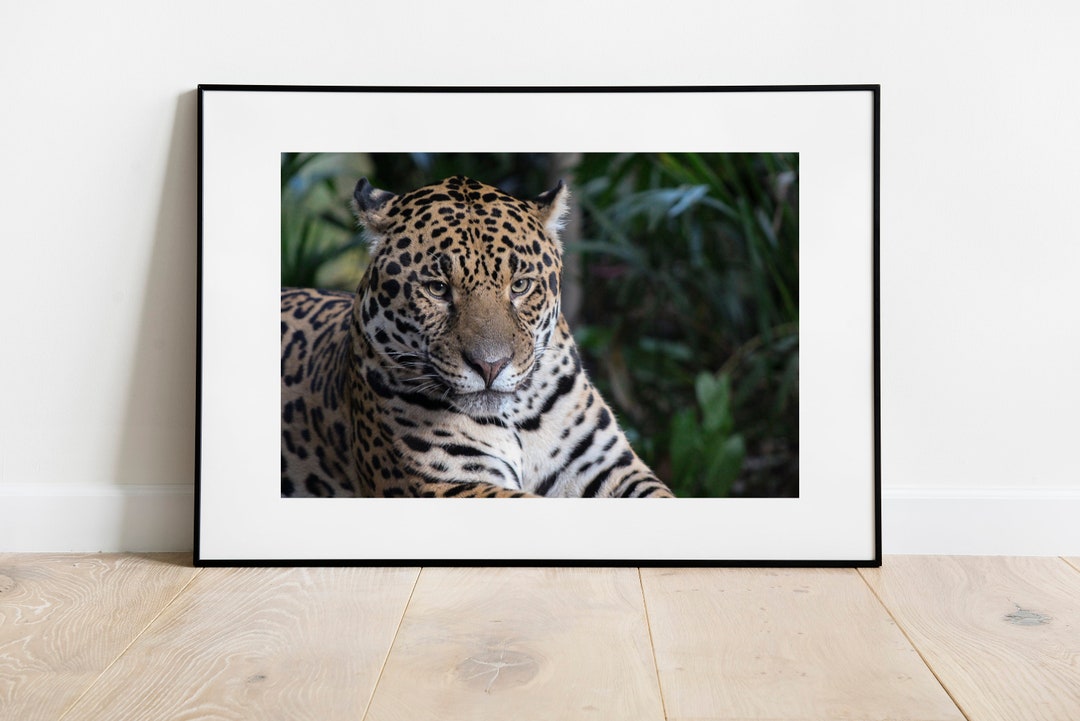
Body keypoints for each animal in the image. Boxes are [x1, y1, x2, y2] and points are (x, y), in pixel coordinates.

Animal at [281, 175, 674, 498]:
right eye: (438, 289)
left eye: (521, 286)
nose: (490, 366)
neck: (518, 420)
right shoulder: (442, 485)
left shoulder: (608, 468)